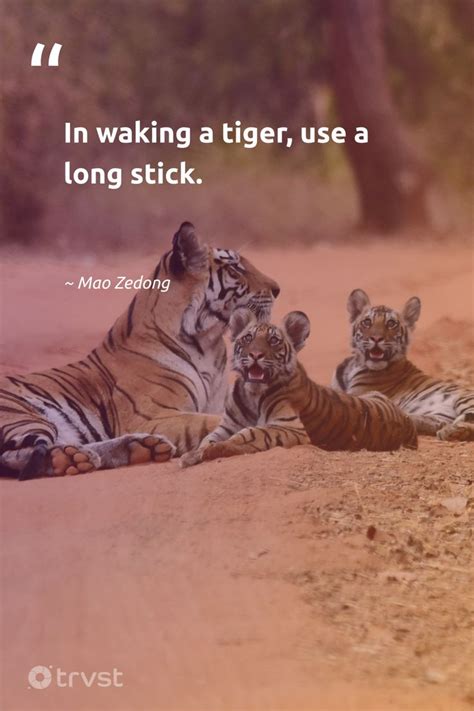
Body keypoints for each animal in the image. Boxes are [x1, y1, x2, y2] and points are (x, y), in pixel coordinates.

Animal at [0, 221, 280, 480]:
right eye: (234, 269)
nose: (277, 289)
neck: (207, 343)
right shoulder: (152, 416)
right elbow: (209, 422)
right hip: (22, 415)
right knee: (15, 457)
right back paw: (70, 458)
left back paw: (140, 448)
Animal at [180, 309, 417, 467]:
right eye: (248, 337)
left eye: (273, 341)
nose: (255, 355)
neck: (252, 394)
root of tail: (407, 422)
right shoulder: (227, 425)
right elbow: (208, 438)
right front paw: (193, 454)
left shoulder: (291, 427)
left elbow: (251, 433)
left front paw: (215, 450)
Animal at [332, 288, 474, 441]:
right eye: (367, 322)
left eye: (391, 323)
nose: (376, 338)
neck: (354, 365)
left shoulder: (359, 395)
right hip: (439, 415)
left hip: (463, 398)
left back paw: (452, 431)